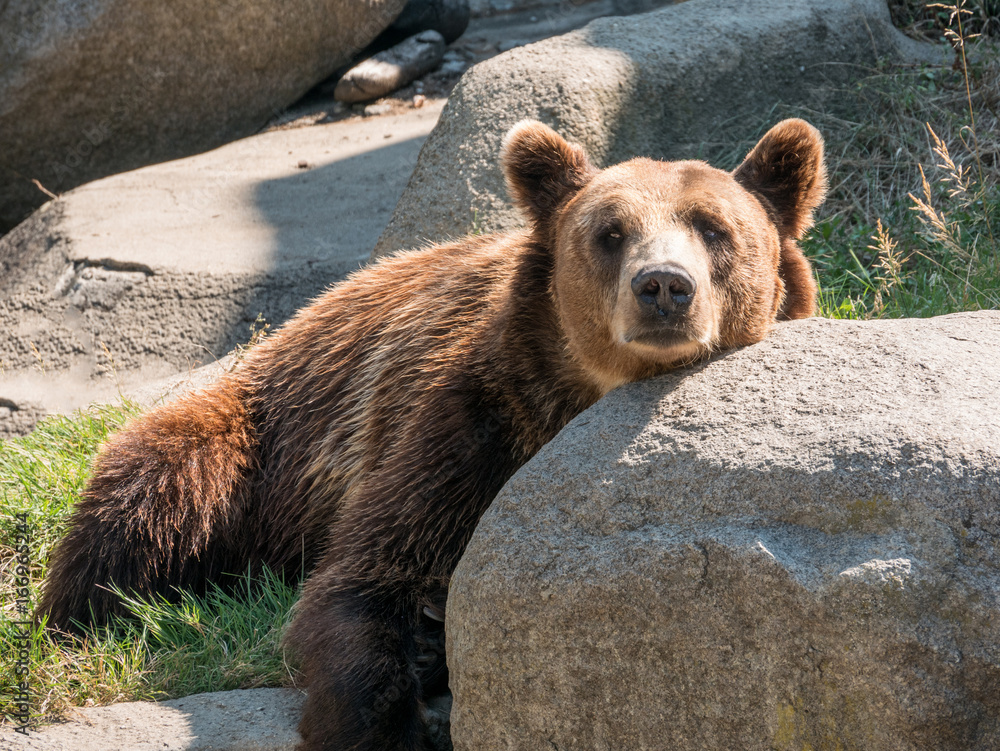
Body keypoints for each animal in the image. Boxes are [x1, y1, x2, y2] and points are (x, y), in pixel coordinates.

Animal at [38, 117, 826, 751]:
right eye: (610, 233)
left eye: (715, 228)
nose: (663, 286)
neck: (582, 398)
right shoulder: (467, 425)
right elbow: (366, 577)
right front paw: (387, 717)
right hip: (257, 435)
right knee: (150, 493)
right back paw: (81, 618)